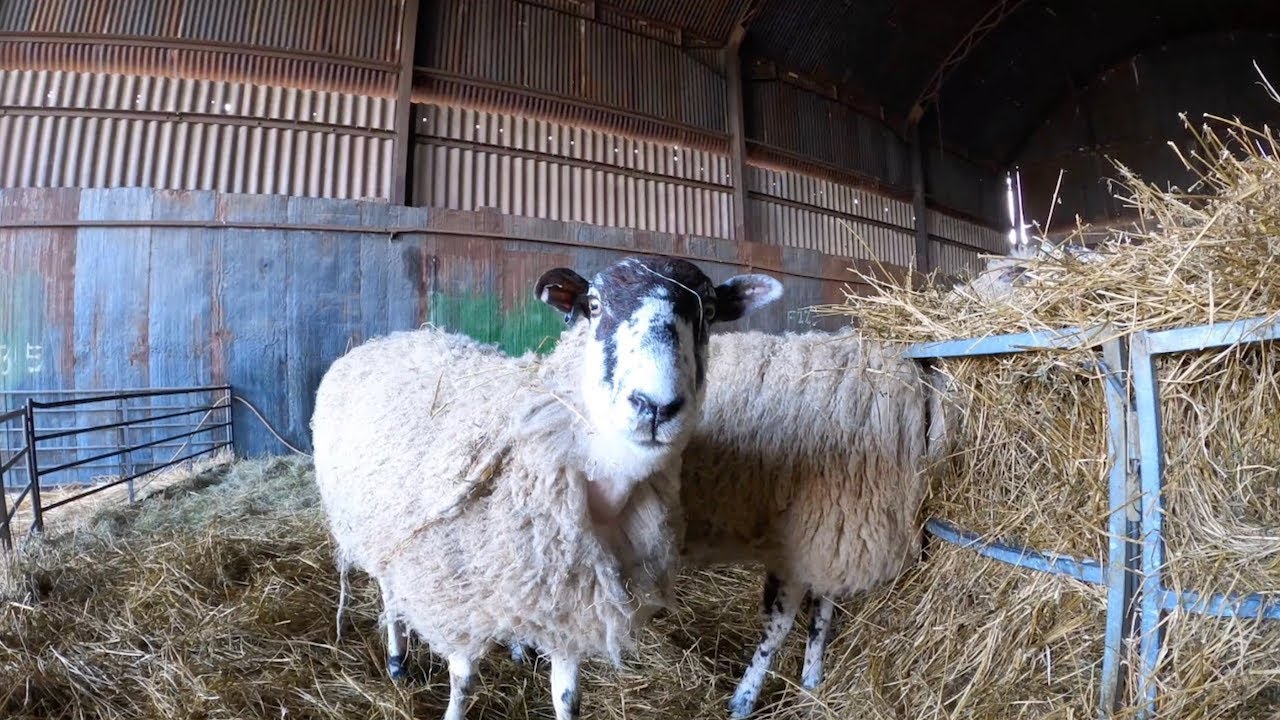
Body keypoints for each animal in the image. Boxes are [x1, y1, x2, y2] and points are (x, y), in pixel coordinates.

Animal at [309, 255, 783, 720]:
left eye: (709, 311)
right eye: (594, 305)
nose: (655, 407)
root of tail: (383, 340)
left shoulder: (570, 601)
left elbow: (568, 697)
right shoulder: (454, 598)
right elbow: (463, 681)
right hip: (381, 531)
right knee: (390, 594)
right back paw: (397, 660)